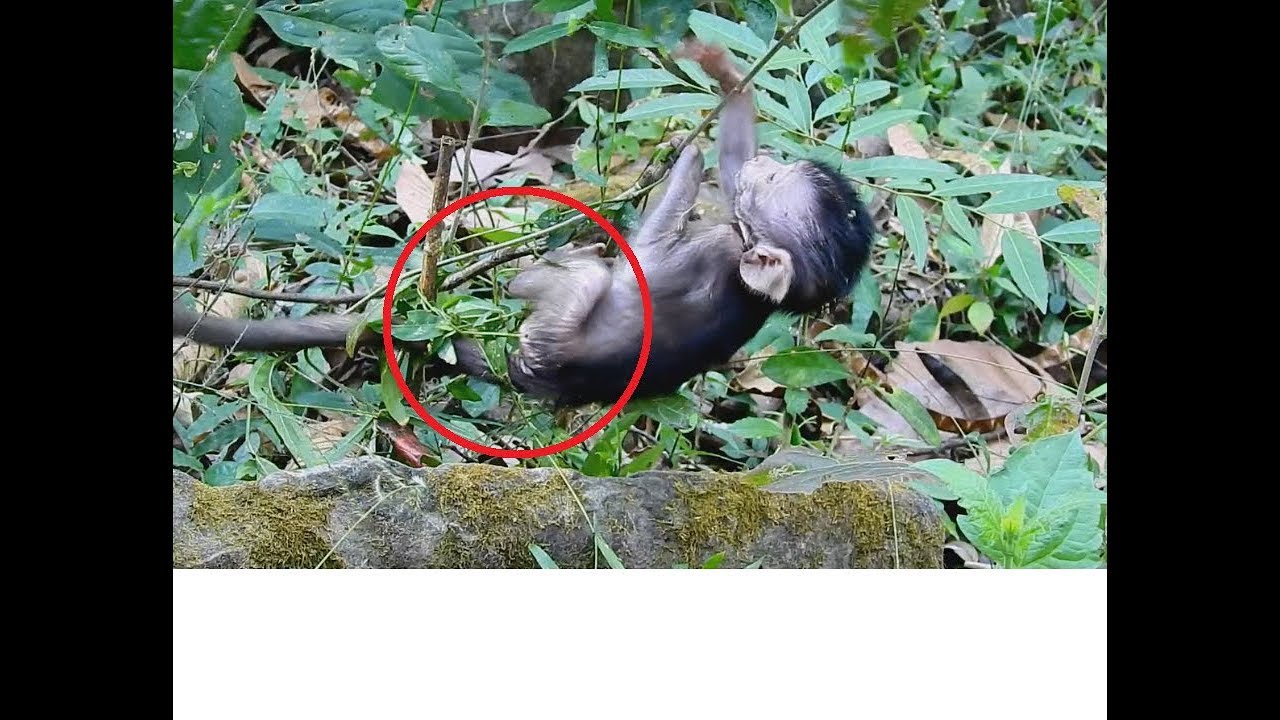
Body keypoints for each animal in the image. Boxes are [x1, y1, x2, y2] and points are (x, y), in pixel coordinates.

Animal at [173, 40, 874, 408]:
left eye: (772, 185)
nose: (765, 165)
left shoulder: (717, 256)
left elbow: (642, 259)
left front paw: (685, 155)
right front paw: (724, 85)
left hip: (540, 343)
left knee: (585, 282)